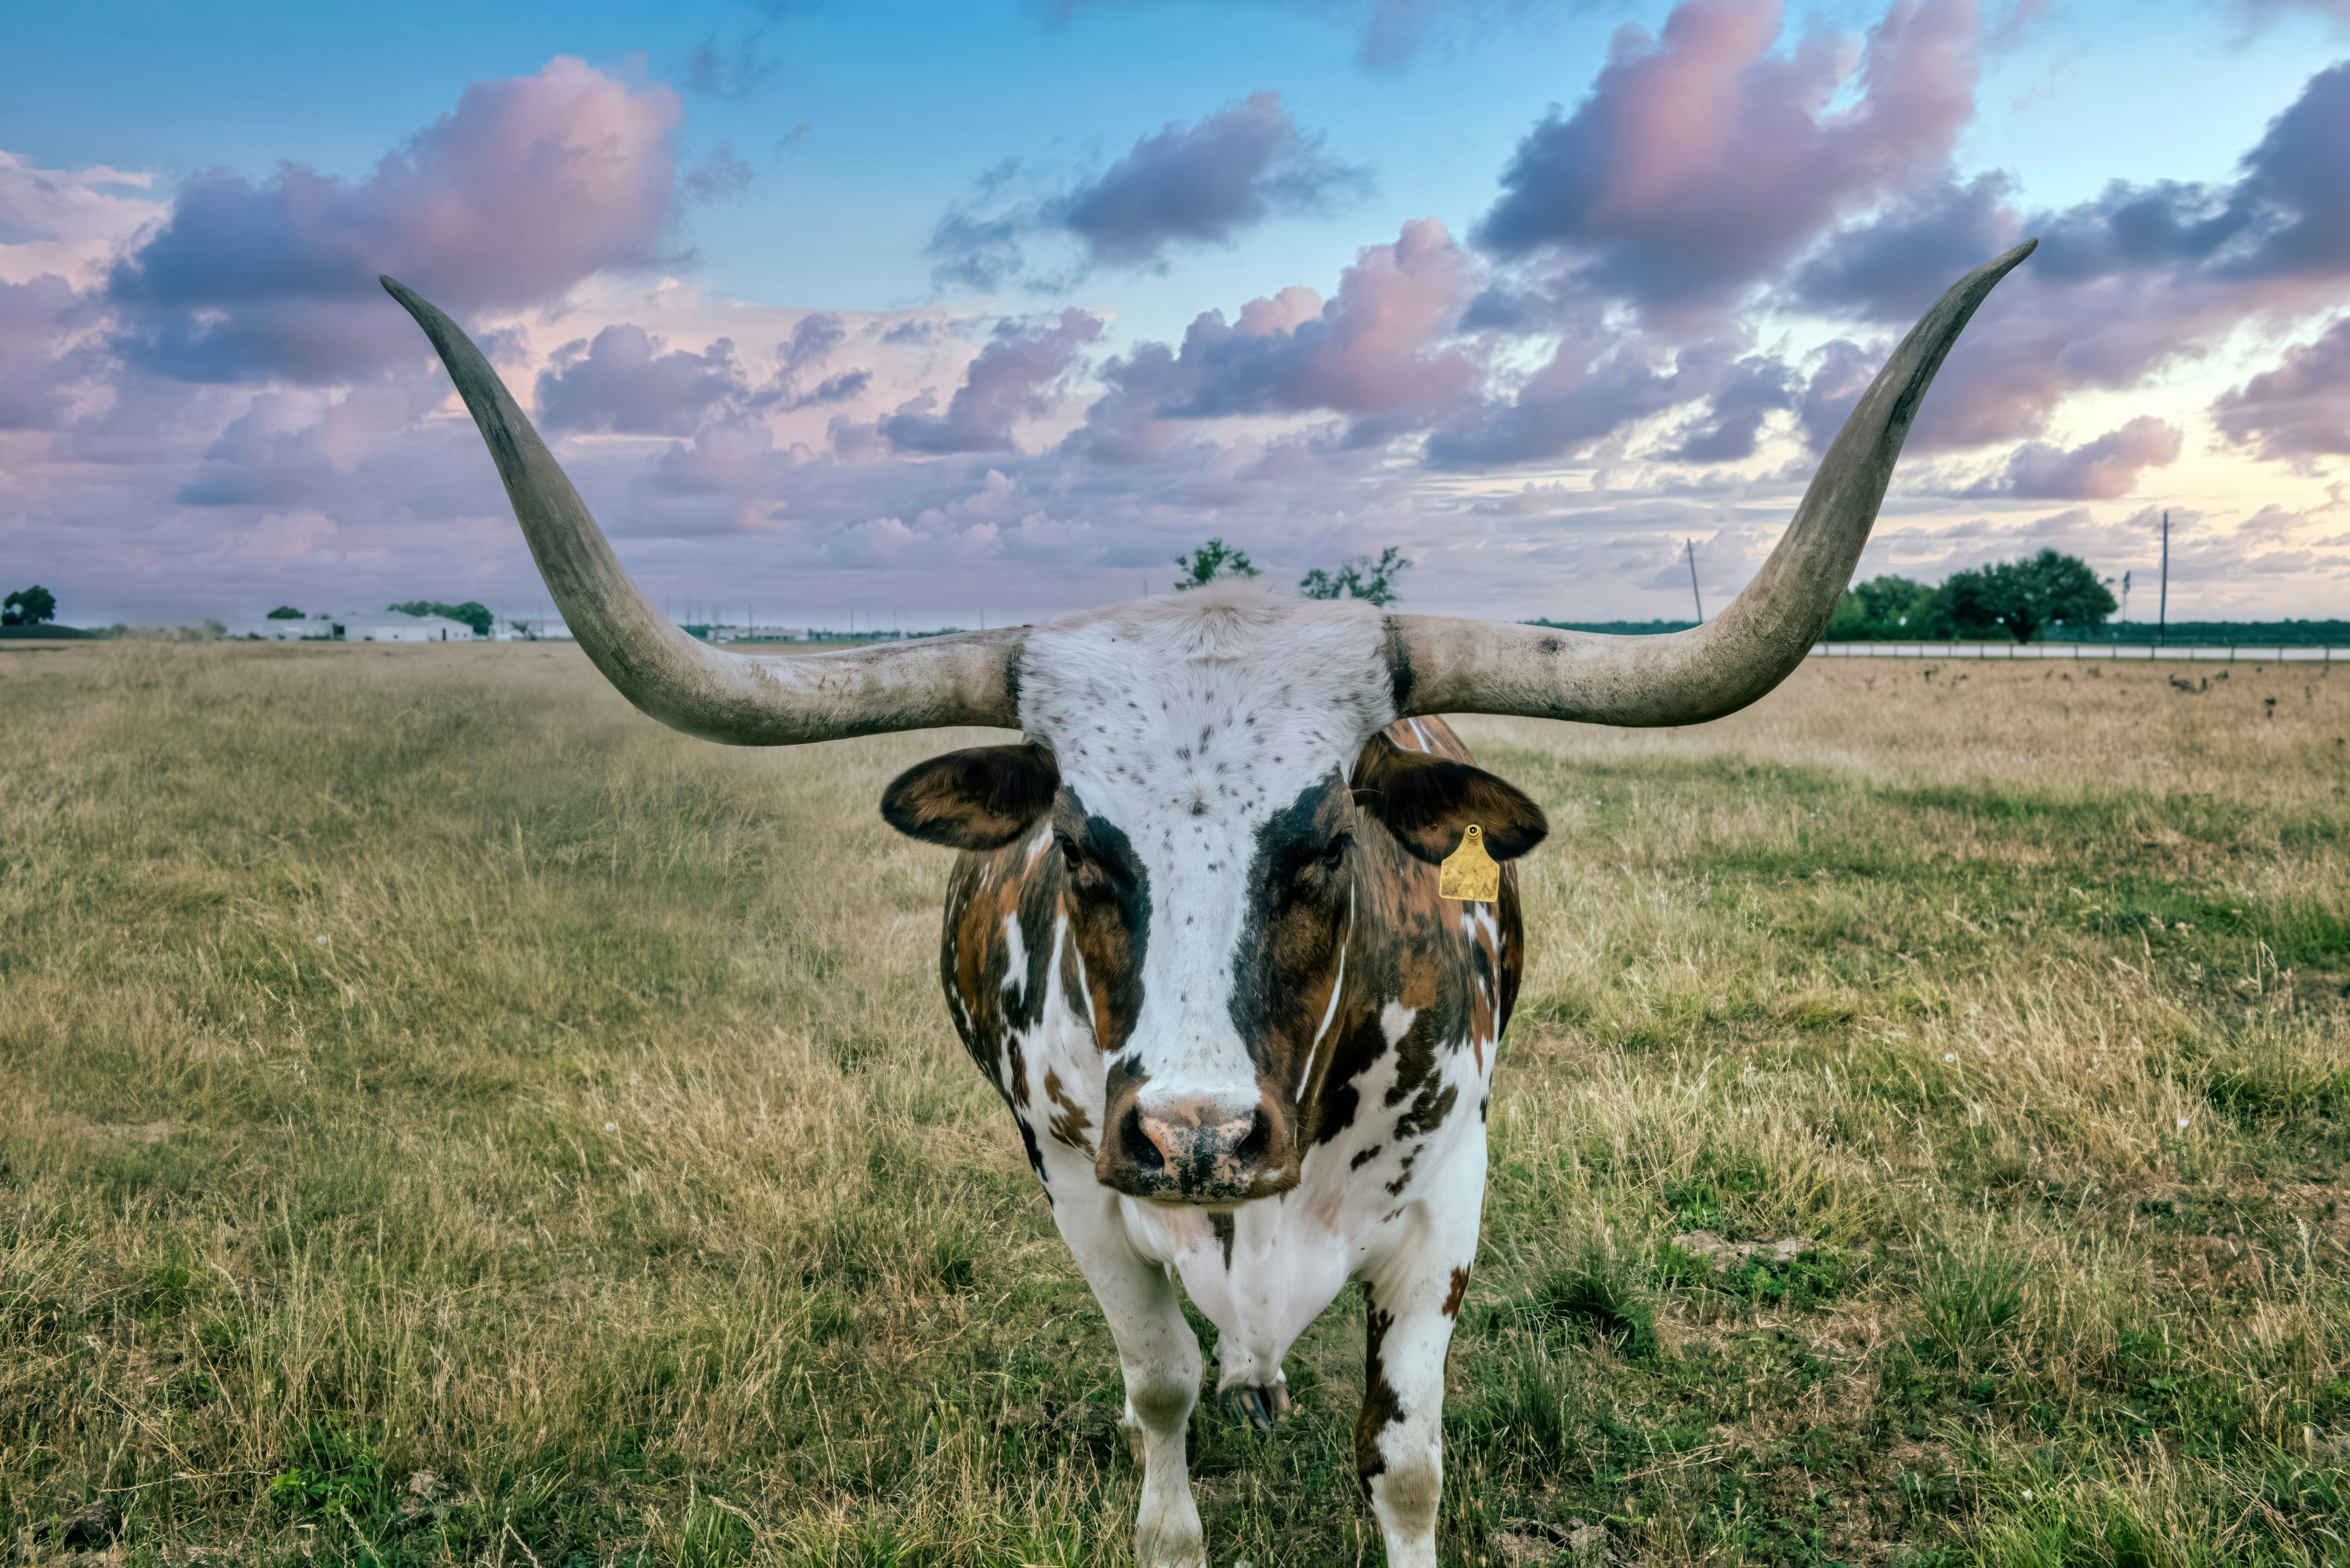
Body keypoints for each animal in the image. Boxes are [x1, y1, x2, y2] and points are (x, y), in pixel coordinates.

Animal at [383, 238, 2032, 1567]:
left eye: (1325, 839)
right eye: (1079, 844)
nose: (1198, 1136)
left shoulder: (1450, 1192)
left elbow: (1408, 1462)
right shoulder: (1075, 1177)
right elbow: (1158, 1384)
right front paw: (1174, 1508)